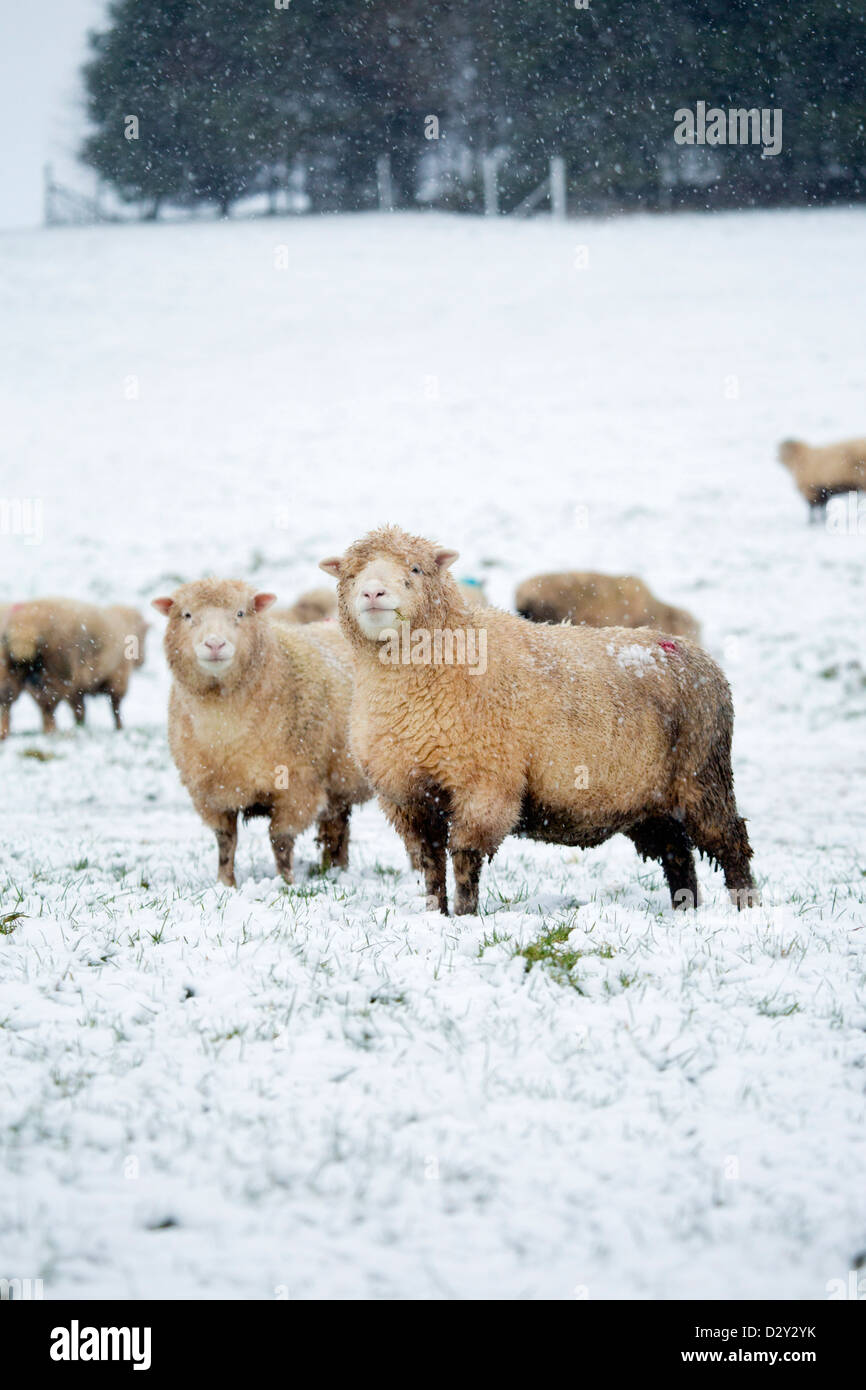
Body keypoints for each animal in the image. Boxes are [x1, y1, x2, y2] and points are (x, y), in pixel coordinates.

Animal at [152, 578, 371, 887]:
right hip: (338, 781)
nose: (215, 644)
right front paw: (225, 883)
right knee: (337, 827)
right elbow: (226, 841)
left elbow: (280, 840)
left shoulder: (297, 788)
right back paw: (334, 870)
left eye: (241, 613)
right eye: (187, 615)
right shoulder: (210, 795)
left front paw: (286, 883)